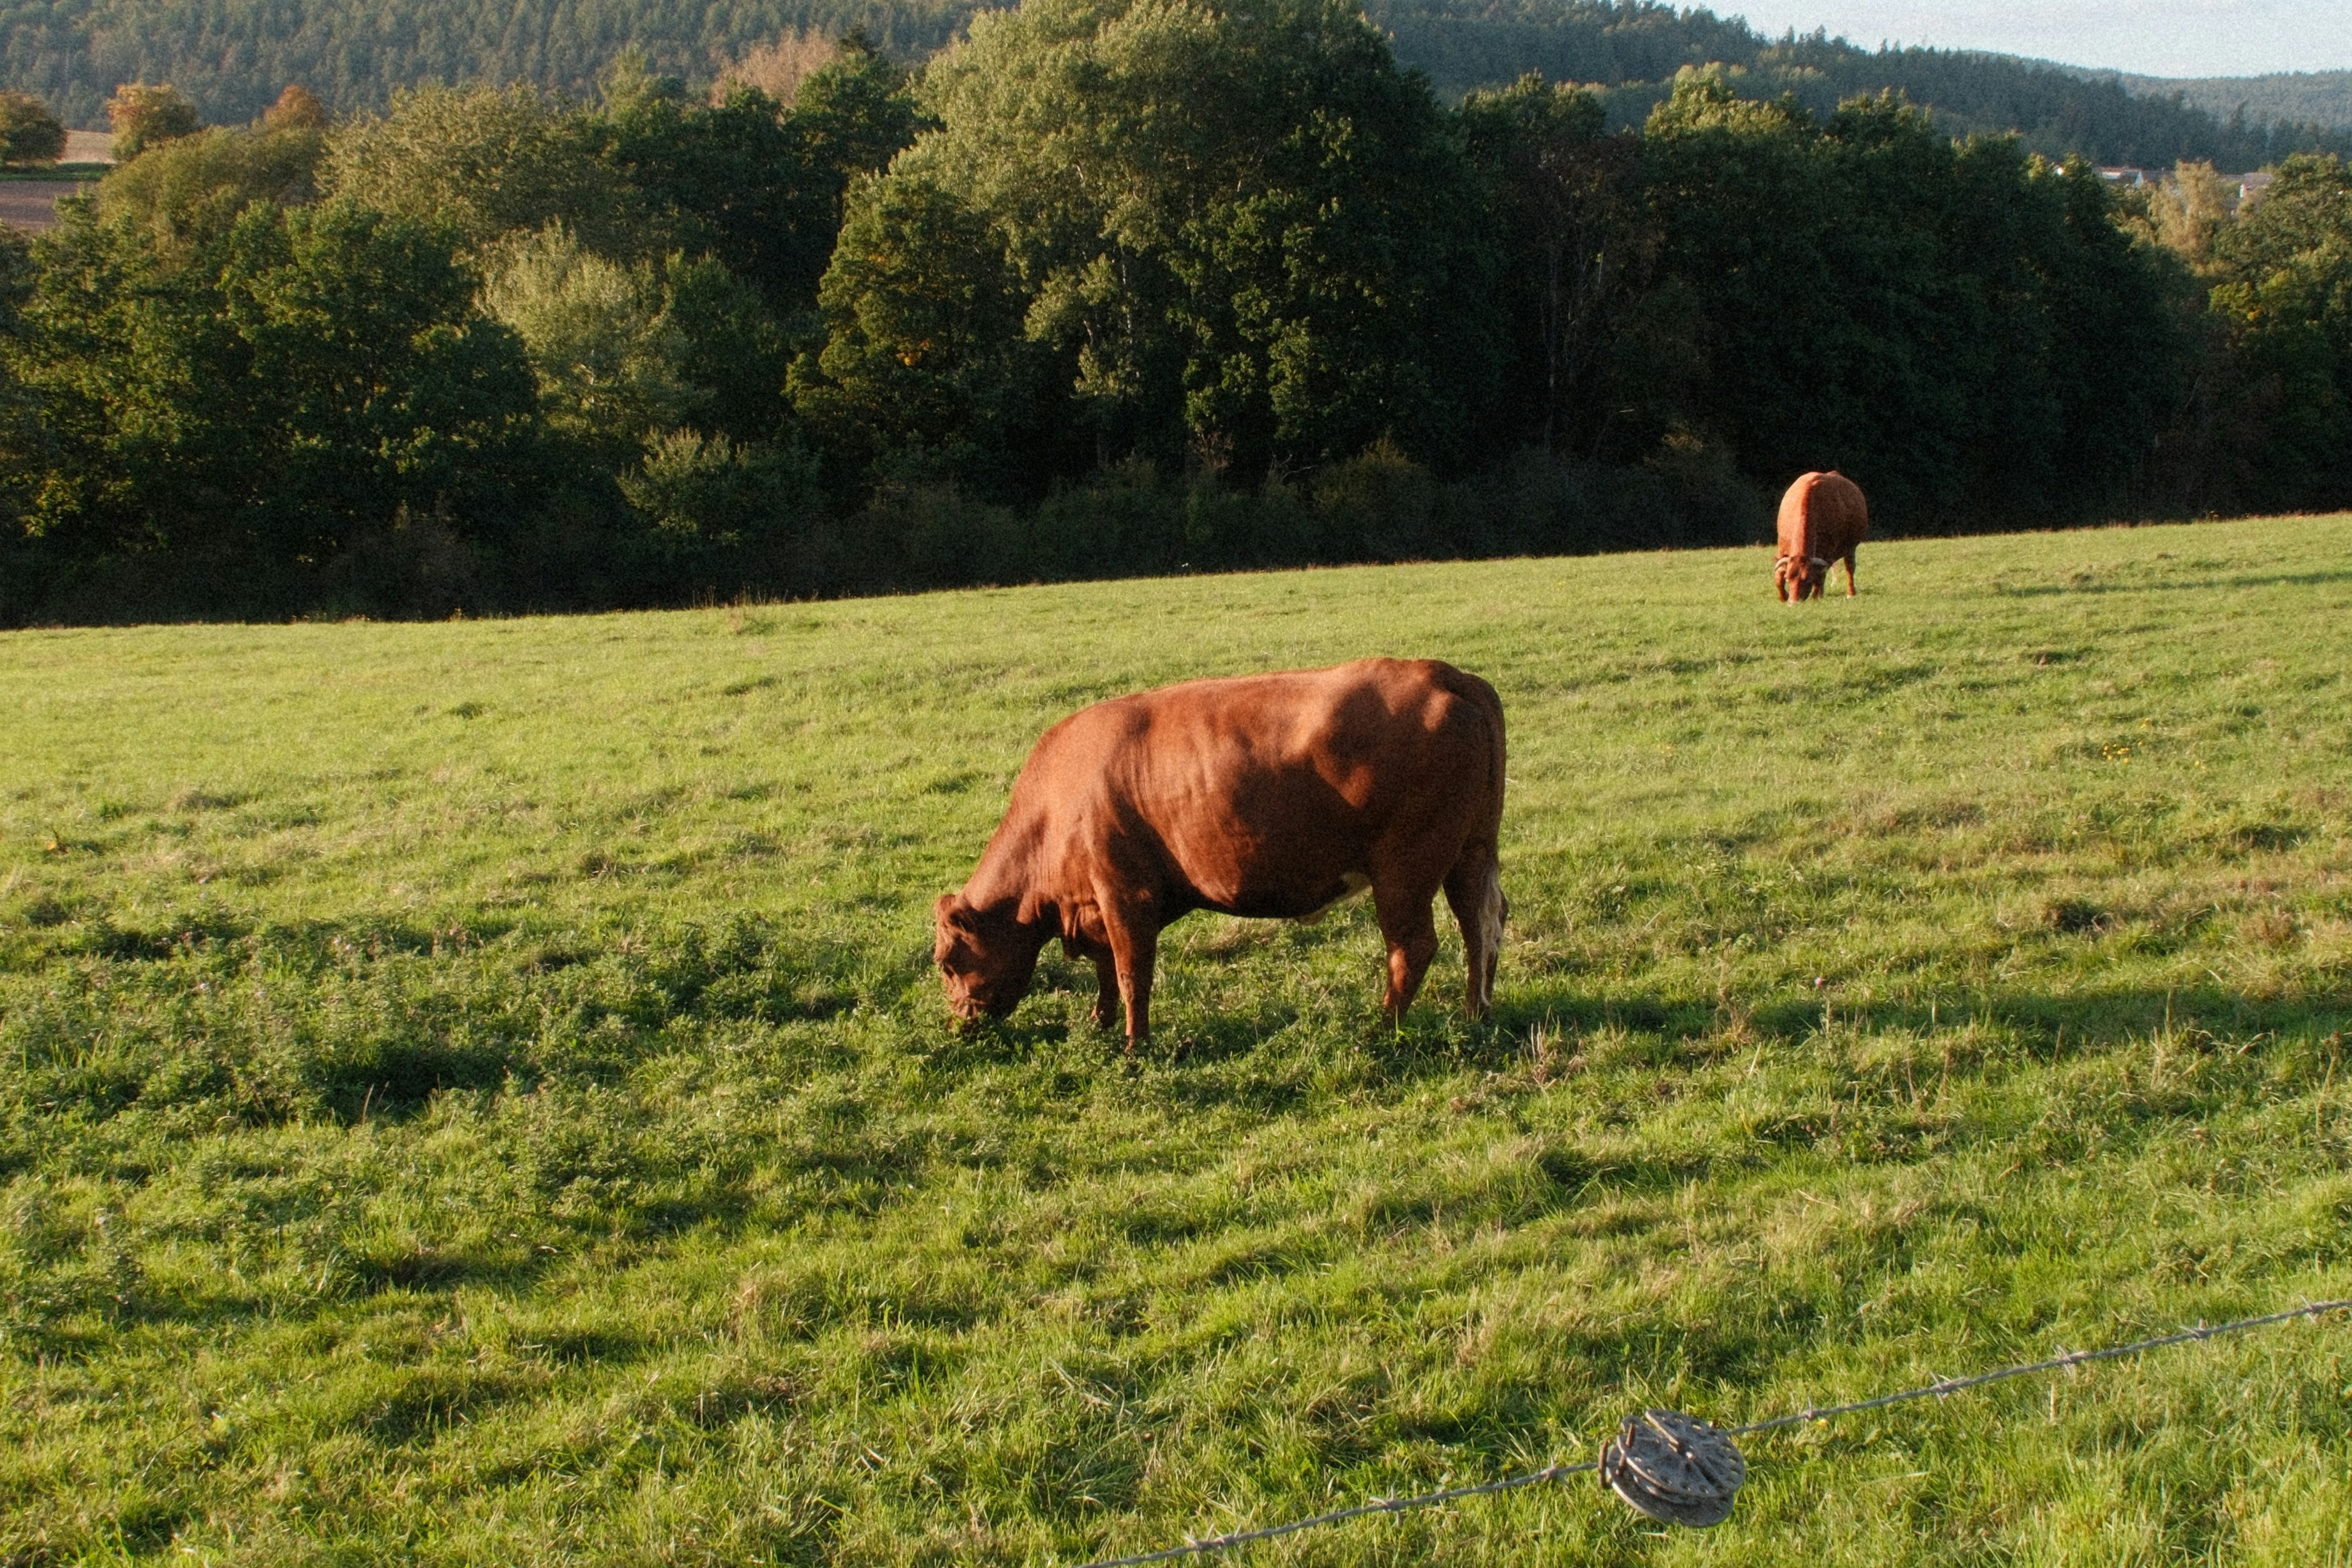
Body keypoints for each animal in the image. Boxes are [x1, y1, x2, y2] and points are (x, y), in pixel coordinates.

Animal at [933, 658, 1507, 1045]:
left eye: (946, 961)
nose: (958, 1024)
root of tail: (1446, 675)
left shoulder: (1125, 895)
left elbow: (1130, 974)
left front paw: (1135, 1044)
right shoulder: (1098, 905)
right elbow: (1105, 971)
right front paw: (1099, 1023)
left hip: (1405, 869)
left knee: (1413, 947)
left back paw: (1382, 1028)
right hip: (1471, 853)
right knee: (1483, 926)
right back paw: (1475, 1014)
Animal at [1775, 471, 1869, 600]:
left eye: (1808, 579)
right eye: (1788, 578)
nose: (1794, 602)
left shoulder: (1828, 553)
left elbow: (1820, 577)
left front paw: (1815, 598)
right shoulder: (1782, 549)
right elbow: (1779, 576)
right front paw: (1783, 597)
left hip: (1850, 548)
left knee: (1850, 568)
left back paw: (1851, 593)